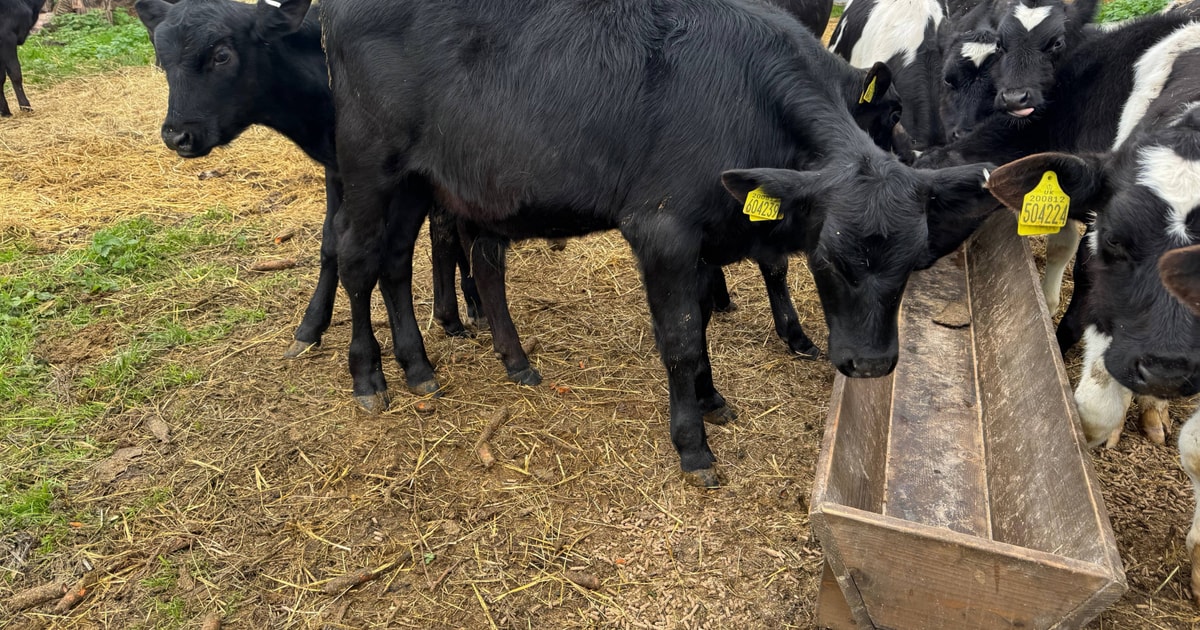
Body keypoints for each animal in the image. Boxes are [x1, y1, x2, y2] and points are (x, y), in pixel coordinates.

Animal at [134, 0, 486, 359]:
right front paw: (311, 326)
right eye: (162, 60)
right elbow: (332, 240)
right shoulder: (339, 170)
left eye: (221, 55)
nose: (177, 135)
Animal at [299, 0, 999, 486]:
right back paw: (369, 376)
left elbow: (702, 323)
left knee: (404, 263)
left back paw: (426, 366)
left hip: (423, 182)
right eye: (826, 259)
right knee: (358, 259)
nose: (874, 365)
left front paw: (712, 400)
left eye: (915, 262)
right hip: (367, 166)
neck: (745, 95)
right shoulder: (663, 231)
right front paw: (693, 444)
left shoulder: (706, 233)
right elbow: (682, 339)